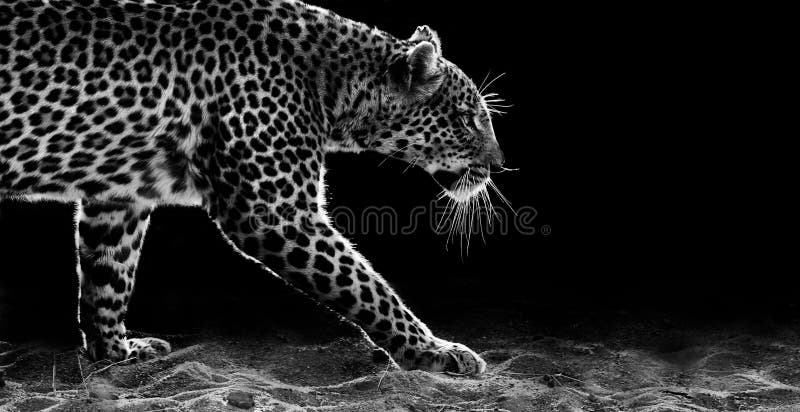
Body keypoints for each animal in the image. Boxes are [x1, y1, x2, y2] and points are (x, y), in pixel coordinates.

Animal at [0, 0, 506, 375]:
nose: (499, 165)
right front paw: (433, 351)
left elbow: (108, 277)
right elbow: (366, 287)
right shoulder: (276, 212)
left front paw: (116, 353)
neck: (338, 85)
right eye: (469, 119)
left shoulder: (119, 196)